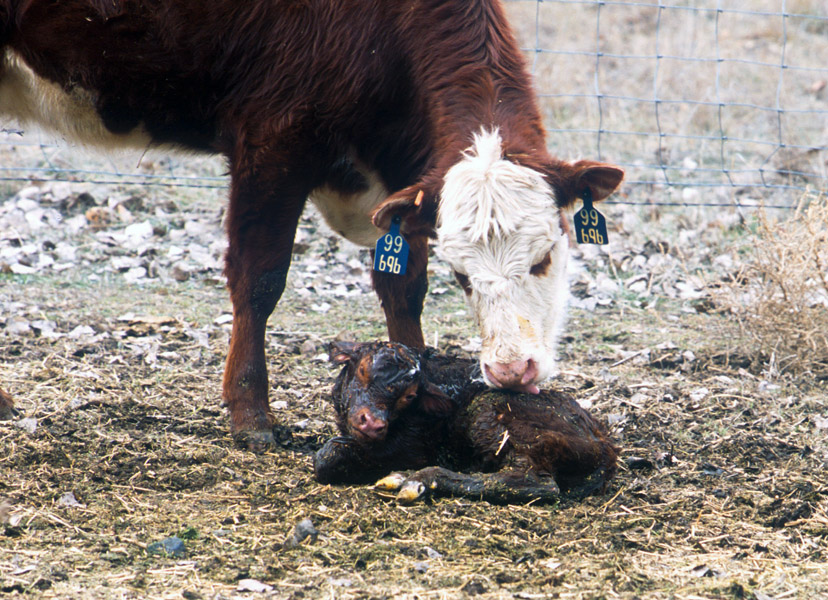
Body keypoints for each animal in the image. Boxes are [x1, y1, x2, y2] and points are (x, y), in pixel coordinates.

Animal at [0, 1, 624, 449]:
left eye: (544, 256)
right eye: (464, 275)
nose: (511, 370)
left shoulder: (403, 188)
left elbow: (402, 287)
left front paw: (418, 392)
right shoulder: (273, 141)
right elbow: (259, 278)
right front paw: (251, 415)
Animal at [314, 341, 618, 504]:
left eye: (409, 395)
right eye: (362, 369)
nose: (373, 424)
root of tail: (604, 444)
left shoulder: (415, 446)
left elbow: (328, 455)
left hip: (493, 416)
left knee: (533, 481)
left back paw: (419, 479)